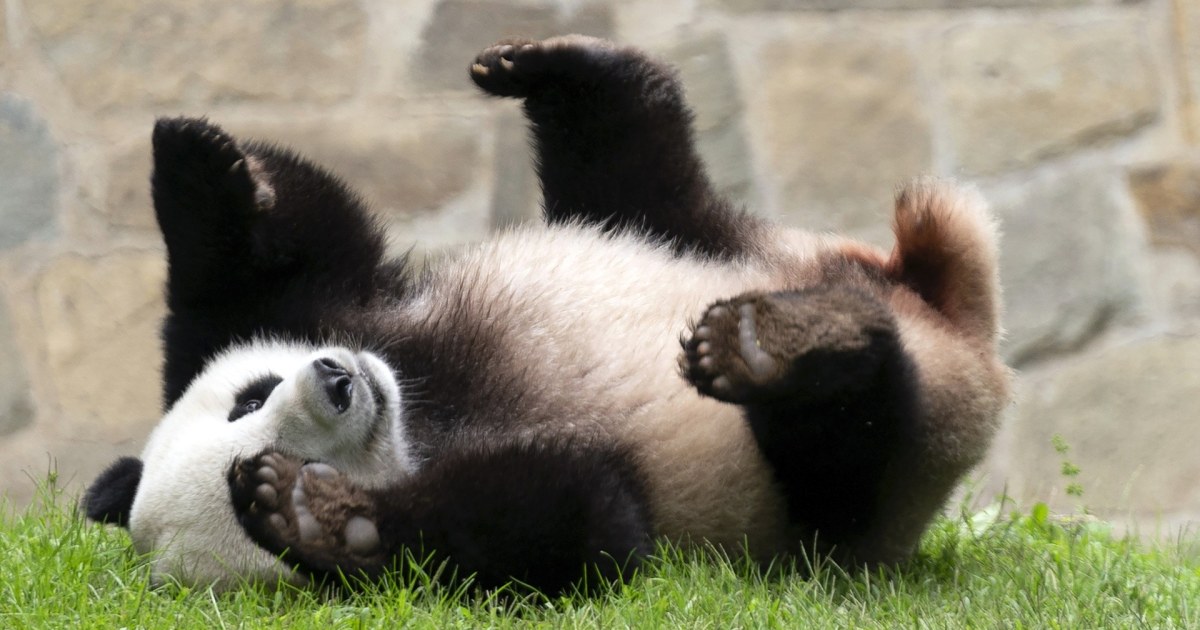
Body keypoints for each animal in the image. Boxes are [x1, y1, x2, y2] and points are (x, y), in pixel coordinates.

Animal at [82, 35, 1010, 594]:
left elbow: (284, 260)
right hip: (851, 498)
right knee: (850, 444)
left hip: (721, 241)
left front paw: (196, 164)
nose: (338, 381)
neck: (423, 411)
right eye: (267, 437)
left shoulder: (346, 311)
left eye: (249, 397)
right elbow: (581, 527)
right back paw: (783, 350)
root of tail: (953, 323)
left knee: (639, 173)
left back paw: (561, 71)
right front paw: (318, 516)